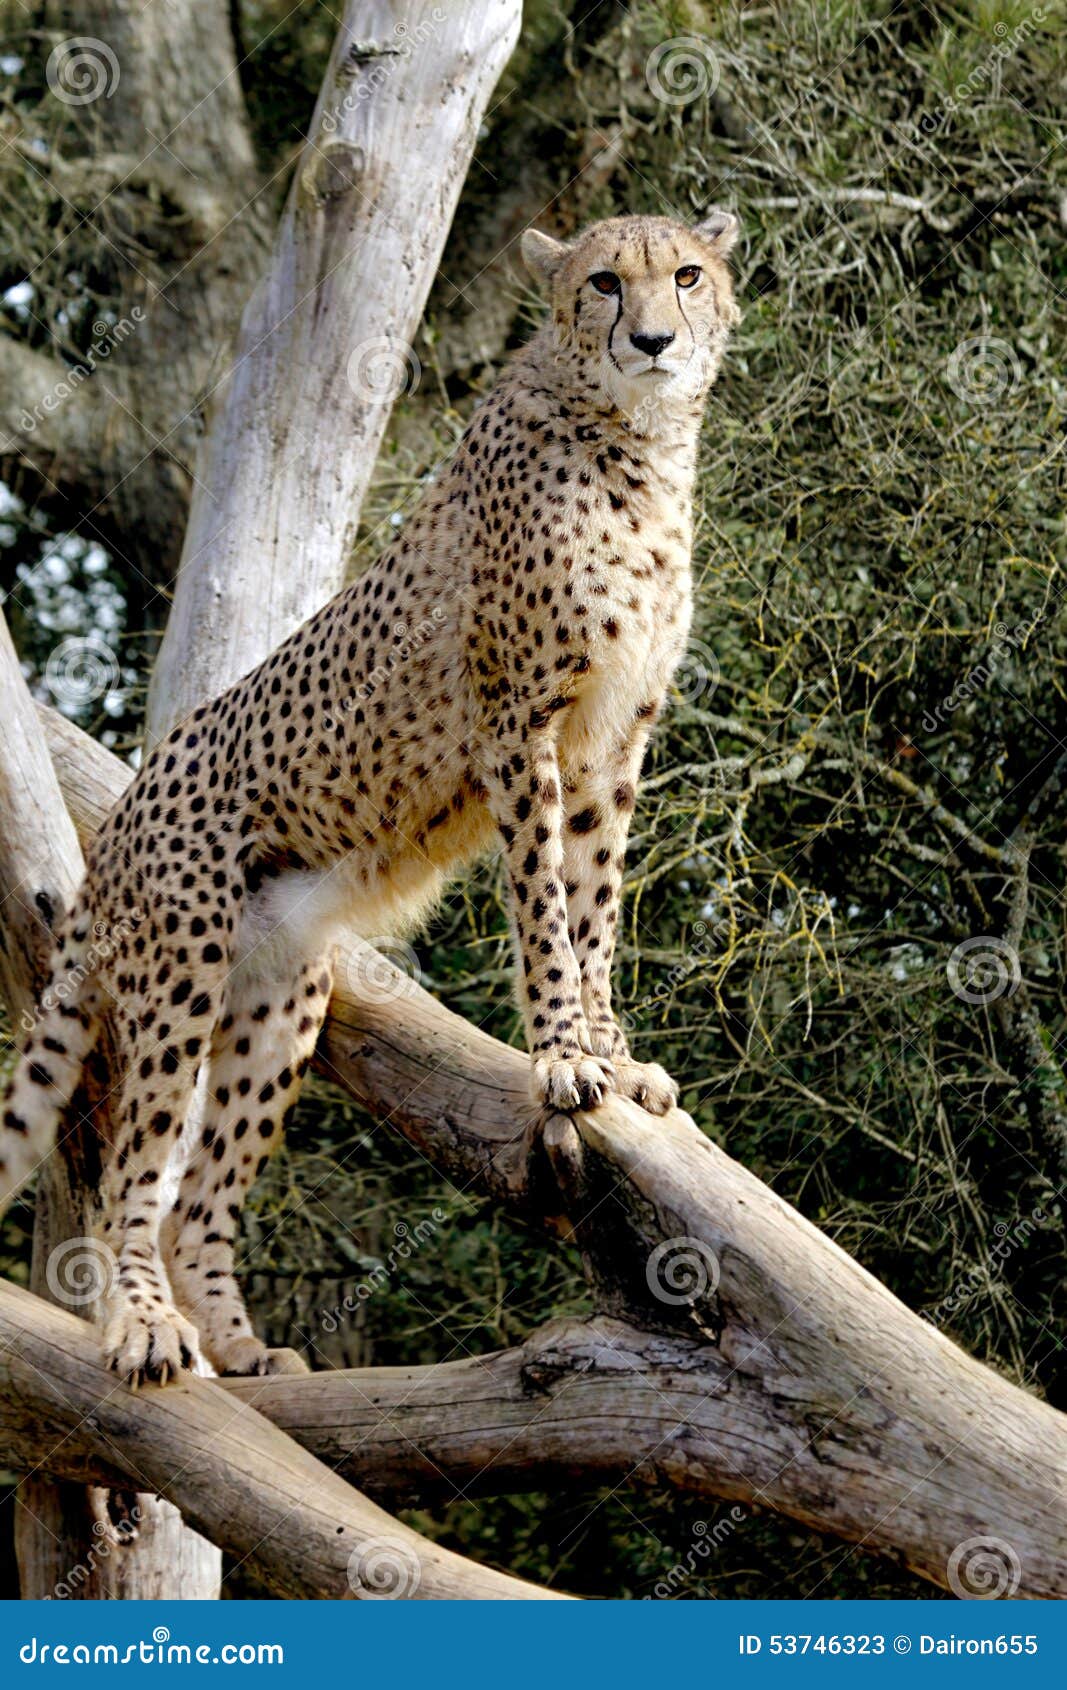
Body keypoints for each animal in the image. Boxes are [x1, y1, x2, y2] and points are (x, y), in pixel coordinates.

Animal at [0, 209, 741, 1384]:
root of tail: (118, 814)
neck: (635, 442)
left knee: (198, 1195)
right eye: (601, 284)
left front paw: (616, 1060)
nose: (655, 339)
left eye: (685, 275)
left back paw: (239, 1348)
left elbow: (595, 912)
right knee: (132, 1177)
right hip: (181, 966)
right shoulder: (517, 726)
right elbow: (545, 913)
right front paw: (564, 1060)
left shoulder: (610, 745)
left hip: (279, 994)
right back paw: (148, 1328)